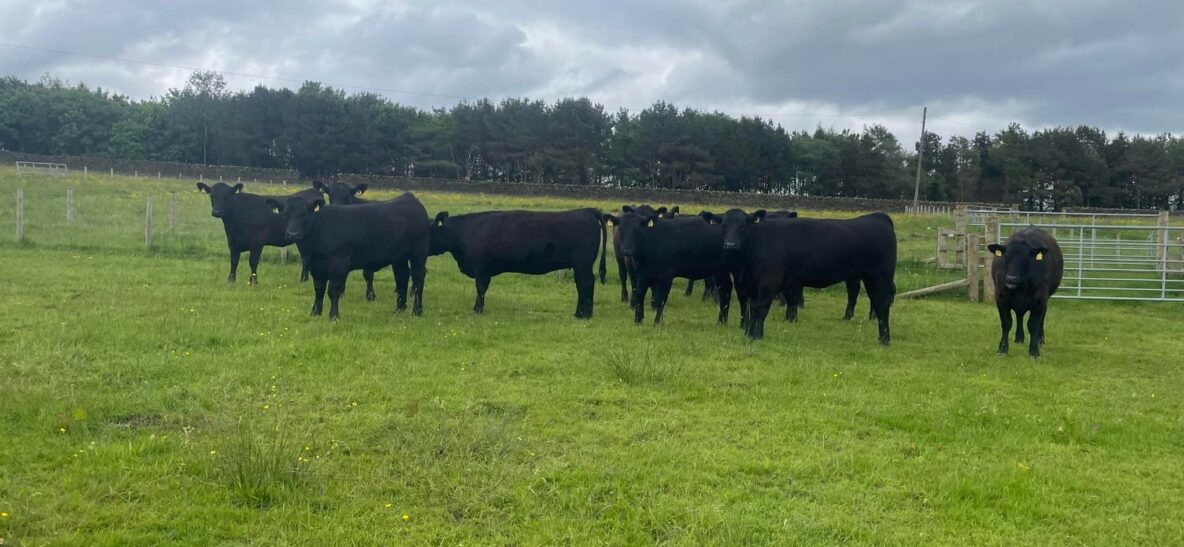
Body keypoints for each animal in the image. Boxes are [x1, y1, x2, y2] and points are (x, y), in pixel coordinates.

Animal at [268, 192, 430, 320]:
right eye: (285, 215)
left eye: (304, 215)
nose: (292, 234)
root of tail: (410, 199)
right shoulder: (316, 266)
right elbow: (319, 289)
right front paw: (315, 313)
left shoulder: (338, 263)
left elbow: (333, 290)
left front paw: (333, 316)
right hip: (400, 257)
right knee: (402, 277)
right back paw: (399, 309)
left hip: (418, 253)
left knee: (418, 279)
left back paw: (417, 311)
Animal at [430, 209, 607, 318]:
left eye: (428, 229)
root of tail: (586, 210)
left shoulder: (481, 269)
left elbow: (480, 290)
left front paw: (477, 310)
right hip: (579, 266)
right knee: (580, 285)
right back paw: (578, 313)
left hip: (583, 264)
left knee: (587, 284)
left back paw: (585, 315)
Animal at [603, 210, 734, 325]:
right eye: (621, 229)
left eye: (637, 231)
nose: (627, 251)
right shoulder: (642, 275)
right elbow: (639, 296)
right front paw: (638, 321)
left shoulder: (666, 276)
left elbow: (660, 299)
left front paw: (658, 323)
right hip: (720, 271)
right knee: (725, 289)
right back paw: (722, 321)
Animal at [723, 210, 897, 343]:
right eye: (723, 226)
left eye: (742, 226)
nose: (730, 245)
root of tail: (879, 217)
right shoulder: (752, 284)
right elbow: (752, 309)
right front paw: (748, 333)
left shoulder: (769, 281)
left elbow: (761, 308)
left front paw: (757, 335)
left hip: (880, 276)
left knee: (882, 305)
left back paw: (885, 339)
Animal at [987, 227, 1063, 357]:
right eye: (1006, 258)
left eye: (1026, 260)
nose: (1011, 278)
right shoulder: (1001, 298)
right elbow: (1006, 323)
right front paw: (1002, 349)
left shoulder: (1040, 300)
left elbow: (1033, 325)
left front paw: (1034, 351)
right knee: (1019, 315)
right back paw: (1019, 338)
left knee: (1041, 316)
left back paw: (1040, 339)